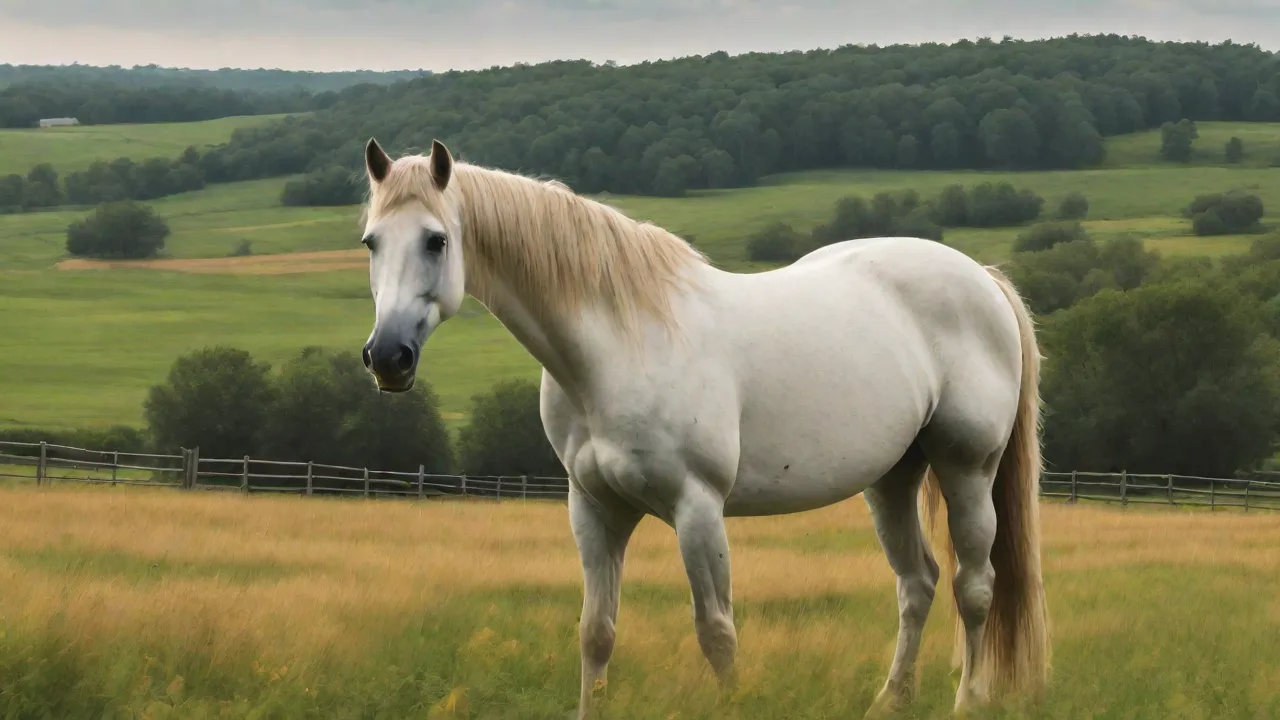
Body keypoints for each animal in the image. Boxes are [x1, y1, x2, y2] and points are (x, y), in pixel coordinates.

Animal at [356, 137, 1050, 718]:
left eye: (436, 240)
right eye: (371, 242)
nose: (387, 358)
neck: (620, 345)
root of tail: (981, 278)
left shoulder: (698, 508)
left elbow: (717, 634)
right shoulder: (594, 510)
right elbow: (596, 633)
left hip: (967, 467)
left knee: (974, 587)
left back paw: (968, 700)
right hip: (892, 479)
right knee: (917, 584)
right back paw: (890, 701)